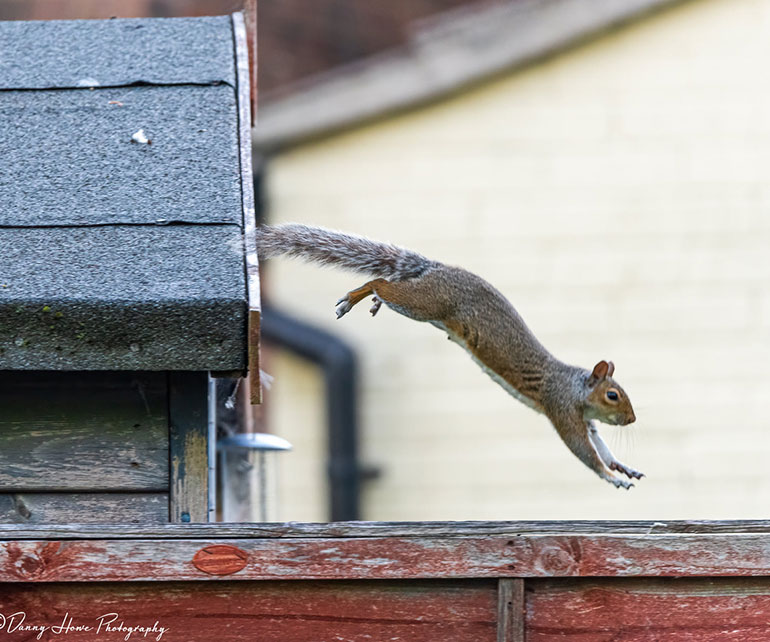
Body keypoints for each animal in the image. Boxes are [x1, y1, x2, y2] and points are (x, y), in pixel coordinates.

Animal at [256, 223, 643, 489]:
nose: (632, 419)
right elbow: (583, 451)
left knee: (389, 284)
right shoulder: (561, 407)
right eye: (613, 395)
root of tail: (436, 268)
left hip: (421, 300)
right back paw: (358, 296)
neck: (576, 388)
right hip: (426, 303)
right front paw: (612, 477)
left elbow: (599, 444)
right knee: (382, 281)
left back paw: (372, 300)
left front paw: (621, 465)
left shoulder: (585, 418)